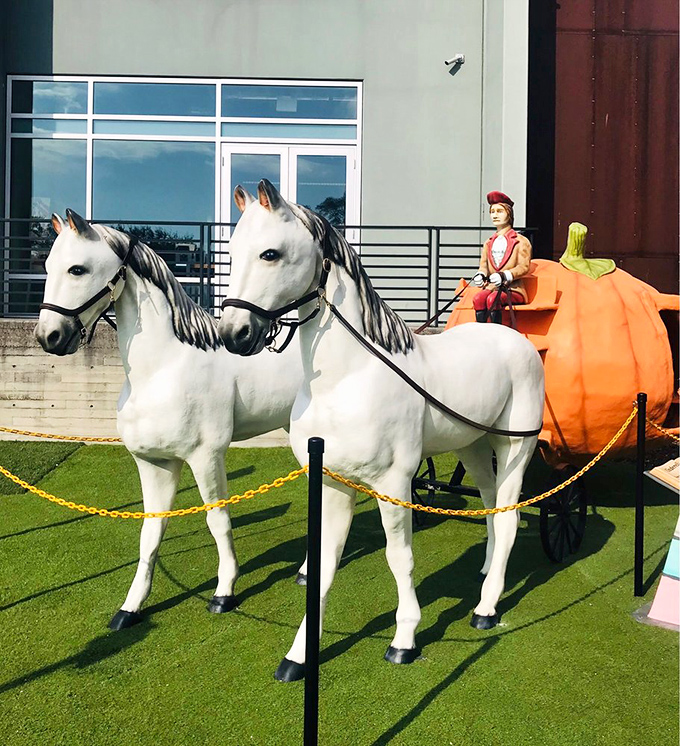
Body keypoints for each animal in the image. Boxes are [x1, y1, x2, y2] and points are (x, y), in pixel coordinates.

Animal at [35, 209, 303, 630]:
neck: (163, 368)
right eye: (46, 266)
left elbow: (218, 520)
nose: (49, 336)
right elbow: (151, 530)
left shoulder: (206, 458)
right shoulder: (153, 463)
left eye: (77, 269)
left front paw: (224, 593)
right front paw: (130, 608)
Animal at [217, 180, 545, 681]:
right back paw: (487, 572)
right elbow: (324, 562)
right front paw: (298, 656)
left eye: (270, 254)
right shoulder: (332, 482)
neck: (347, 378)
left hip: (514, 448)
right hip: (471, 447)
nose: (235, 334)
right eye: (233, 252)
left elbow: (399, 558)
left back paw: (486, 608)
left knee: (508, 516)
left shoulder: (393, 484)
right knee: (490, 505)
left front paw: (404, 639)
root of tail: (517, 342)